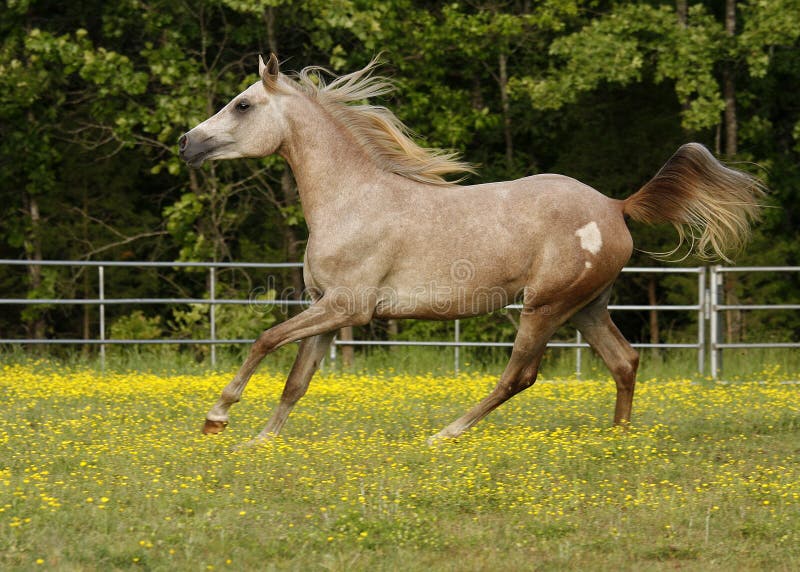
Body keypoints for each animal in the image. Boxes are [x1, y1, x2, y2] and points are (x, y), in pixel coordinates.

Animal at [179, 54, 763, 447]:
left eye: (243, 104)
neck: (354, 199)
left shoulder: (348, 307)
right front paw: (259, 442)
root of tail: (617, 206)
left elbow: (265, 340)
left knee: (520, 376)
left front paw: (217, 418)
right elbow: (297, 380)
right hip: (586, 308)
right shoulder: (328, 308)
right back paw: (617, 440)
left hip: (544, 307)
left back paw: (446, 434)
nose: (187, 143)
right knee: (624, 362)